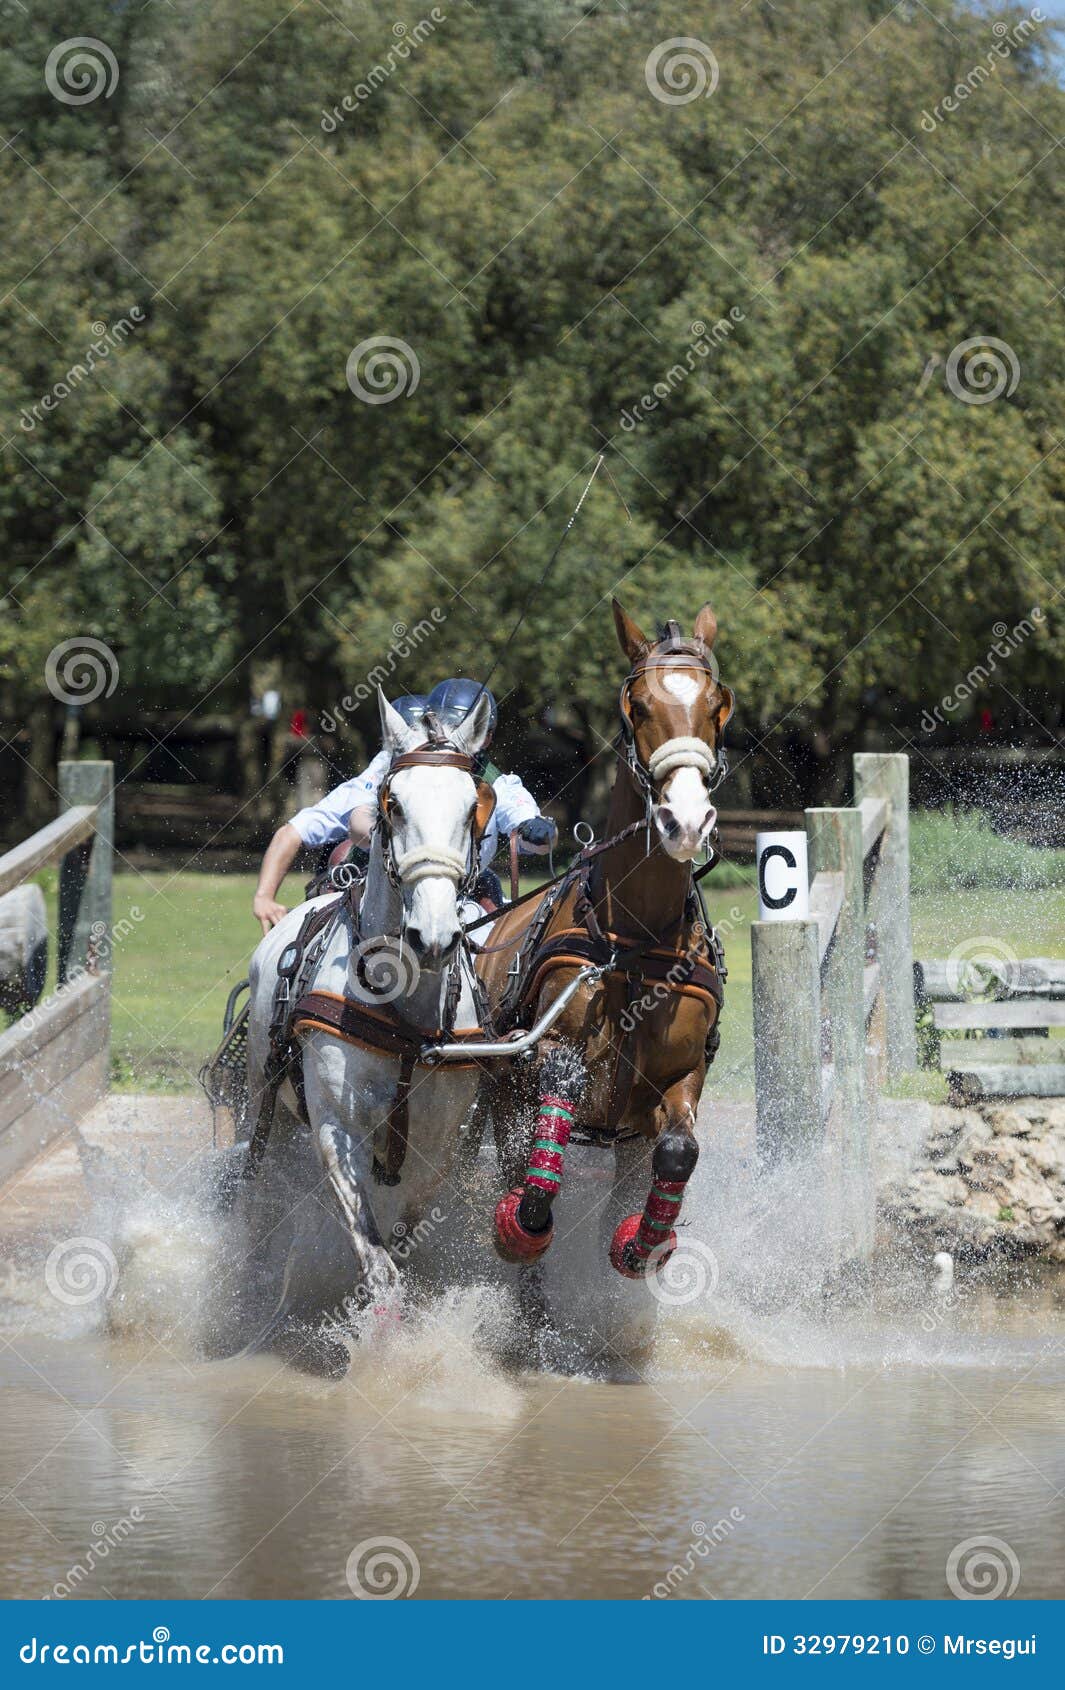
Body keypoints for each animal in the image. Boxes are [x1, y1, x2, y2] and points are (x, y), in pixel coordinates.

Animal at [236, 687, 497, 1373]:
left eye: (473, 809)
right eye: (393, 803)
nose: (432, 935)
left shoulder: (440, 1141)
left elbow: (406, 1239)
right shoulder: (337, 1126)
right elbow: (378, 1263)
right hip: (261, 1098)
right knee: (253, 1184)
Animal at [474, 600, 733, 1299]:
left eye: (718, 706)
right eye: (637, 705)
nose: (686, 821)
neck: (636, 942)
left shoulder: (679, 1078)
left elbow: (679, 1152)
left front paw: (642, 1246)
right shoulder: (551, 1051)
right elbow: (541, 1169)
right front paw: (519, 1225)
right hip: (498, 1093)